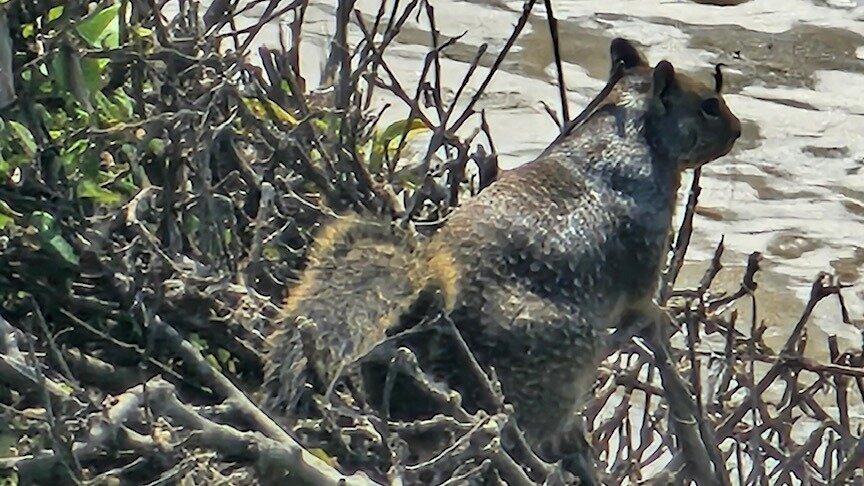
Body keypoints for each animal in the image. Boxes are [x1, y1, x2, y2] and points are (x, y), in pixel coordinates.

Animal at [262, 38, 741, 482]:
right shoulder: (648, 240)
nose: (738, 131)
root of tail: (433, 321)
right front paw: (663, 317)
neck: (632, 134)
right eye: (709, 105)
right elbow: (643, 302)